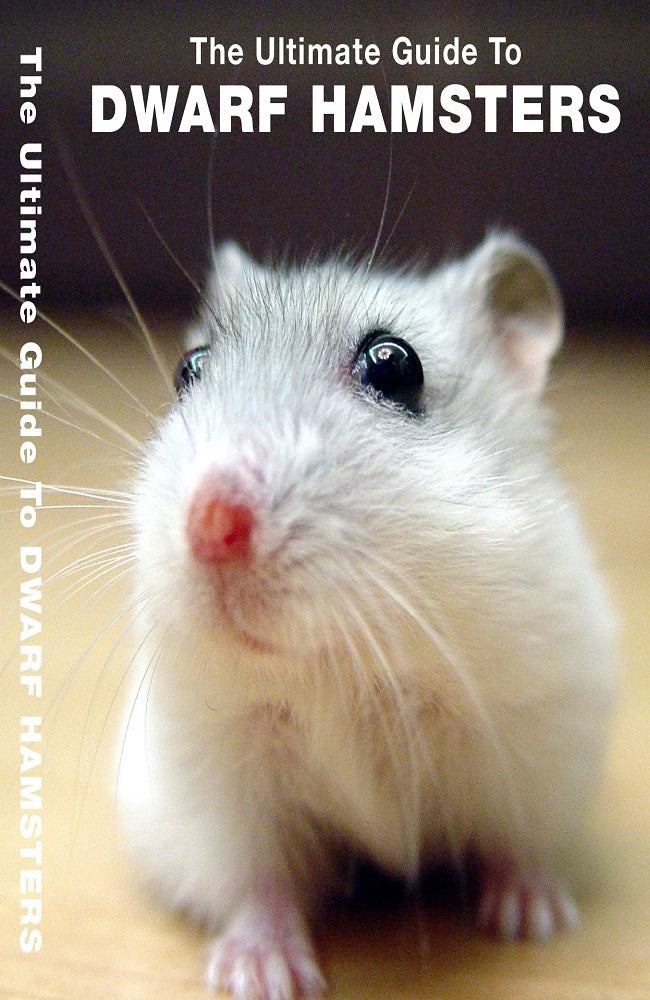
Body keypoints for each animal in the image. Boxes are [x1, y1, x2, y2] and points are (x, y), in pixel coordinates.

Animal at [117, 232, 616, 999]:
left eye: (395, 366)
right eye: (188, 369)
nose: (211, 526)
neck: (342, 658)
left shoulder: (533, 739)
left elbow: (515, 842)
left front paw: (533, 922)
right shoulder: (220, 773)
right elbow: (256, 878)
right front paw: (263, 977)